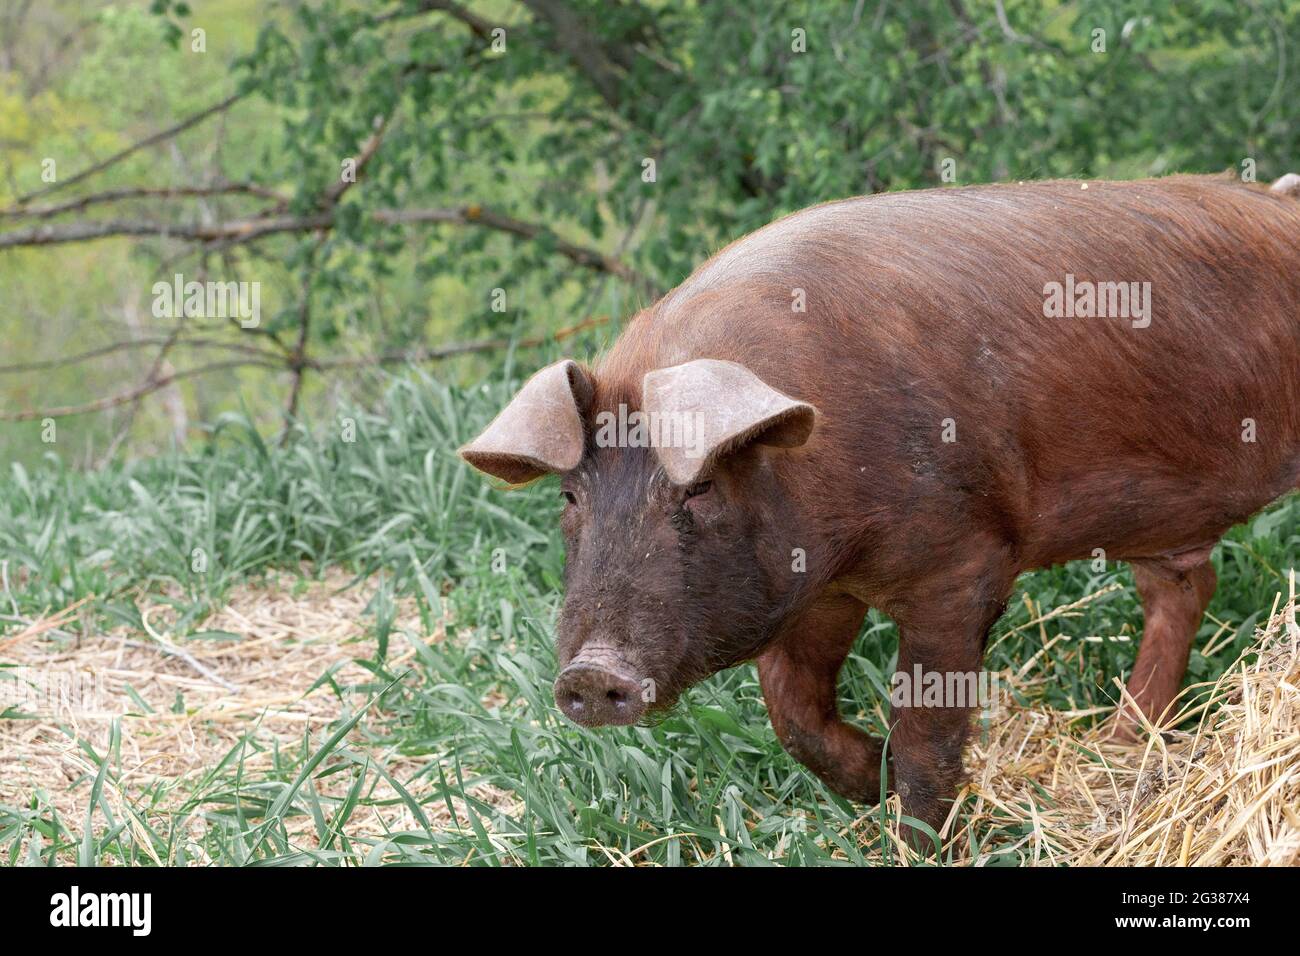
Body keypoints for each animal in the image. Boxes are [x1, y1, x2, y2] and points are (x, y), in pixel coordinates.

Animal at [460, 173, 1300, 844]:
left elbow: (928, 731)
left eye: (698, 488)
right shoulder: (818, 592)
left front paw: (916, 833)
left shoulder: (962, 567)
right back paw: (1122, 744)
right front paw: (873, 780)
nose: (590, 674)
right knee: (1182, 588)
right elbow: (794, 716)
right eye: (571, 496)